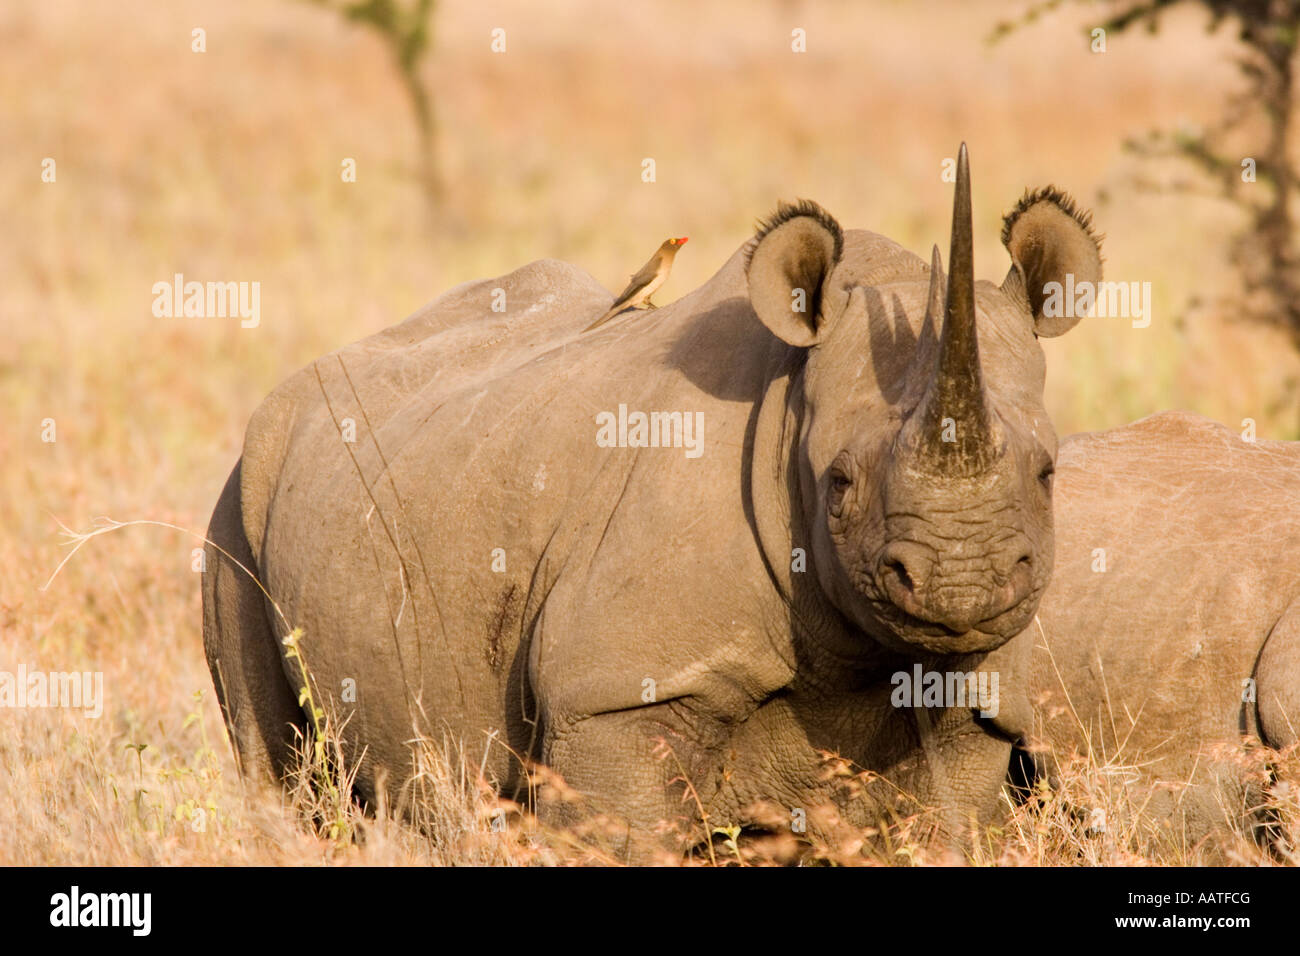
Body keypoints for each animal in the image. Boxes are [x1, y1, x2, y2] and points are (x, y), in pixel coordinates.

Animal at [201, 146, 1104, 855]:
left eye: (1048, 474)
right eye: (838, 483)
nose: (964, 585)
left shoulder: (978, 703)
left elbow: (945, 820)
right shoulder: (615, 695)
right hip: (236, 505)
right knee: (284, 776)